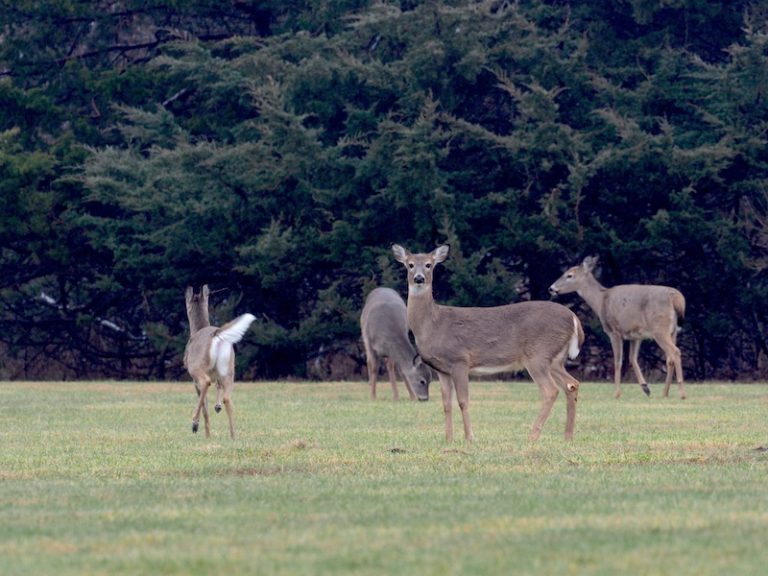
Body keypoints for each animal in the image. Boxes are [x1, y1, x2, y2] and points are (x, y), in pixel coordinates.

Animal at [184, 285, 256, 439]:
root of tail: (216, 333)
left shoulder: (194, 380)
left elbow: (204, 405)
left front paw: (207, 434)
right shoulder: (217, 375)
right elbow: (217, 388)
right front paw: (217, 407)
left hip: (196, 367)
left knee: (205, 382)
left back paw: (194, 423)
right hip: (229, 368)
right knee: (227, 397)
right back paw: (233, 435)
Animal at [392, 244, 584, 442]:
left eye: (429, 265)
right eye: (410, 265)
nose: (419, 278)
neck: (432, 325)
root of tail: (574, 318)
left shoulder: (460, 360)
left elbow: (463, 401)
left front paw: (470, 437)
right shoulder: (442, 370)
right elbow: (446, 404)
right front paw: (449, 438)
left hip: (538, 354)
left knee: (550, 390)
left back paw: (532, 435)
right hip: (555, 359)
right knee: (572, 384)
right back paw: (568, 436)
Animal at [548, 255, 686, 399]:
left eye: (569, 275)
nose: (551, 288)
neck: (600, 301)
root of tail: (677, 299)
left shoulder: (614, 331)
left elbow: (618, 361)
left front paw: (617, 393)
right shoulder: (635, 335)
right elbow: (632, 358)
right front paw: (645, 388)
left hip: (659, 329)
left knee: (675, 351)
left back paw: (682, 393)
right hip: (673, 330)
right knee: (670, 358)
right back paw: (665, 393)